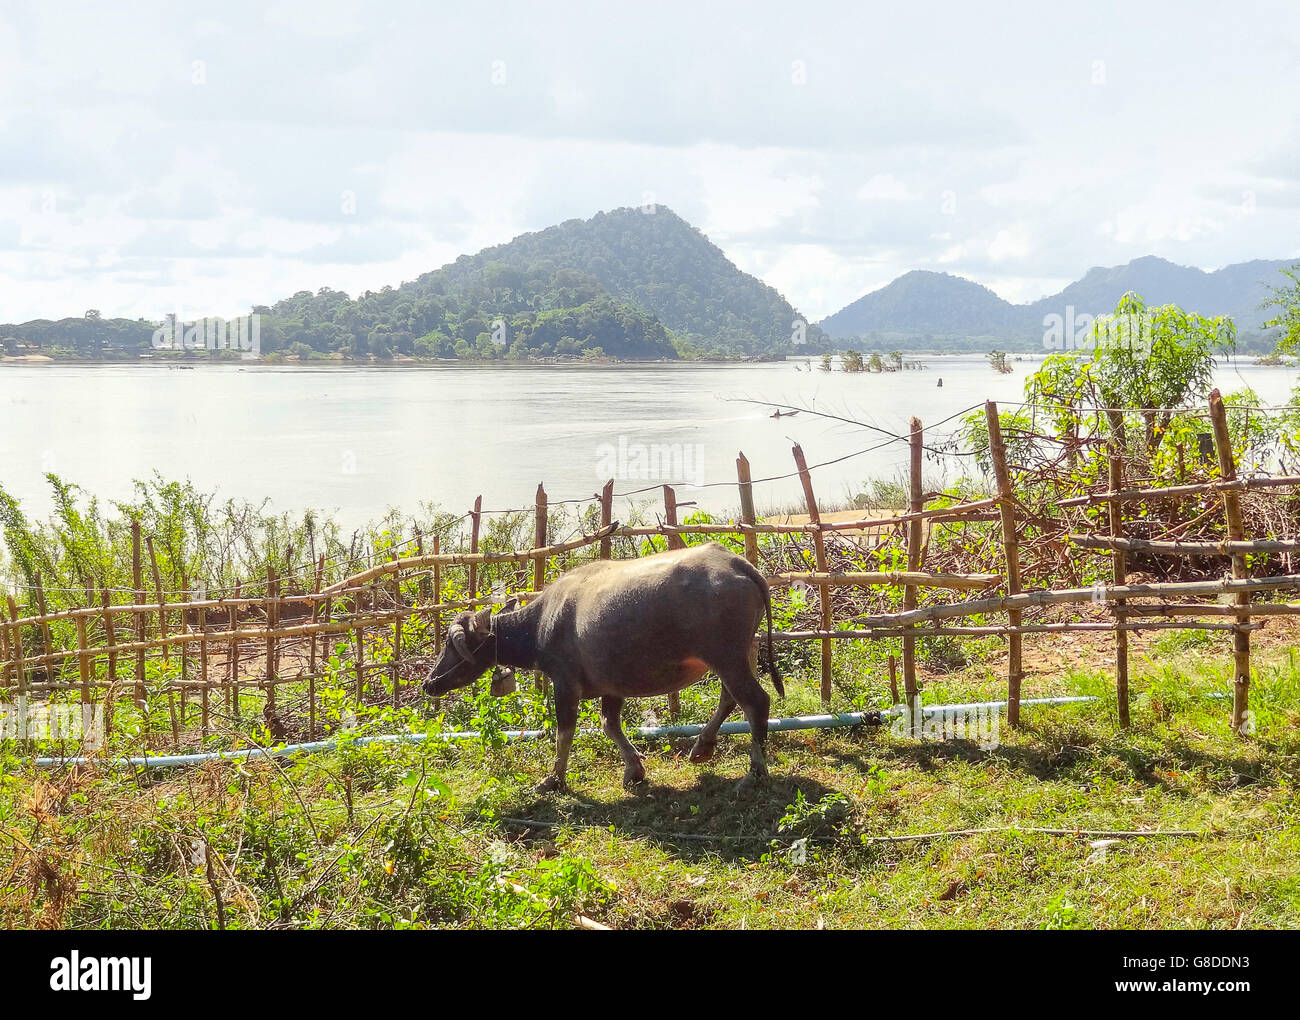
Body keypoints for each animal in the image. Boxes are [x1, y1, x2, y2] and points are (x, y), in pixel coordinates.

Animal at [423, 542, 783, 793]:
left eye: (453, 644)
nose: (429, 683)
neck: (542, 622)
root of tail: (737, 562)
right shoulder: (613, 686)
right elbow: (610, 724)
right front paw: (634, 770)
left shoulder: (565, 682)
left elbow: (565, 731)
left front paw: (554, 779)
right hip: (737, 655)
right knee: (730, 698)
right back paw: (702, 747)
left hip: (727, 657)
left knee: (755, 701)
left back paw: (754, 773)